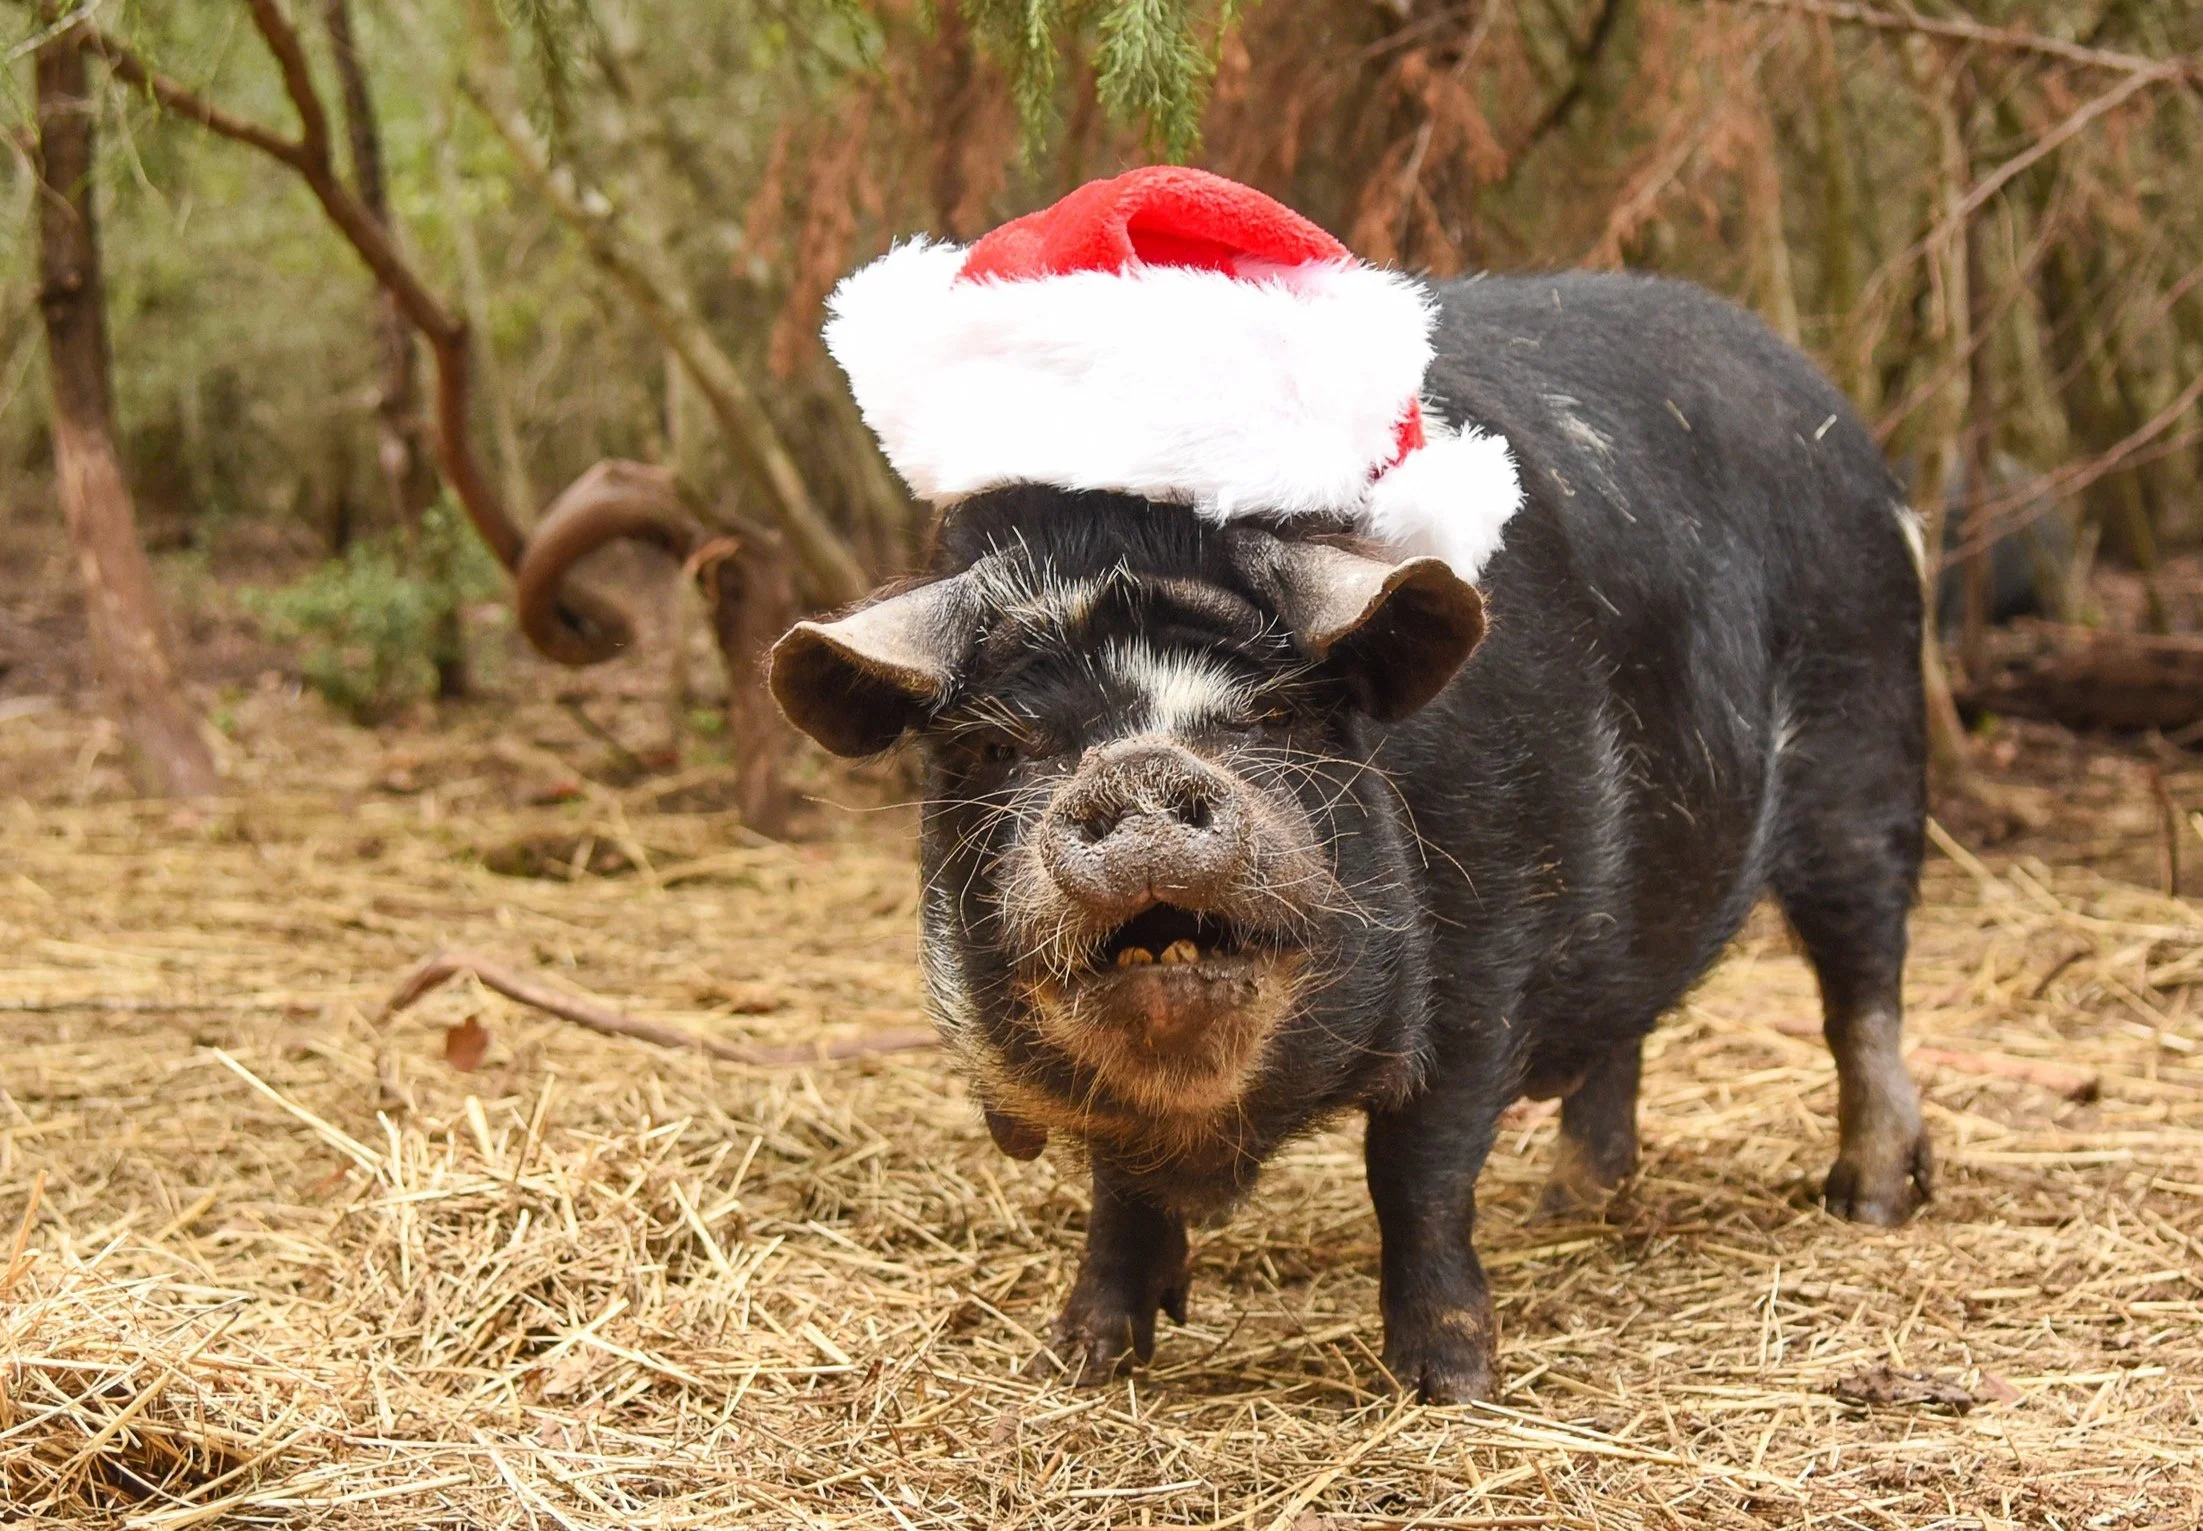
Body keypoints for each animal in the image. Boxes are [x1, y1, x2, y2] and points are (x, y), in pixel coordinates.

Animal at [770, 271, 1932, 1403]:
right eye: (999, 745)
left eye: (1276, 712)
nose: (1137, 770)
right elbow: (1117, 1191)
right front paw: (1078, 1363)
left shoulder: (1488, 949)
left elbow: (1419, 1169)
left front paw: (1451, 1385)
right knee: (1628, 1014)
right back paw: (1568, 1205)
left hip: (1863, 747)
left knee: (1861, 984)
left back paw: (1870, 1203)